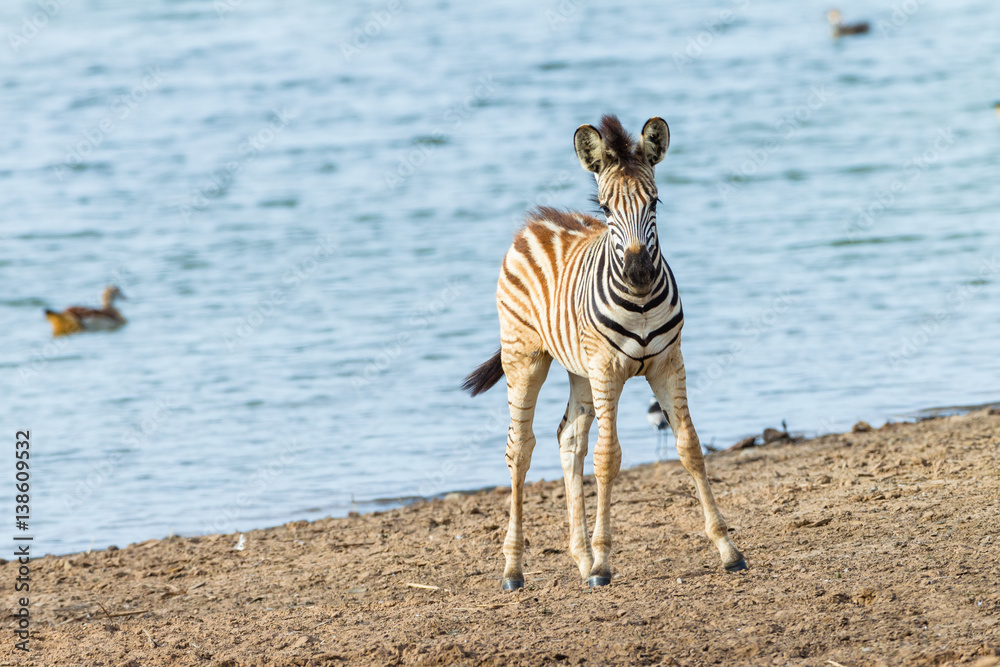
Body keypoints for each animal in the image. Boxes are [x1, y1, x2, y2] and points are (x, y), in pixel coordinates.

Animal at [463, 115, 746, 589]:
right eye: (607, 209)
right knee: (519, 449)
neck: (642, 302)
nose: (638, 272)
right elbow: (608, 457)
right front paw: (603, 564)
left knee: (568, 439)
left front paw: (727, 549)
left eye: (655, 202)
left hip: (579, 370)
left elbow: (689, 445)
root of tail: (532, 224)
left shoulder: (669, 363)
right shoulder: (607, 369)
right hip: (525, 359)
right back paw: (514, 569)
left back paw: (579, 558)